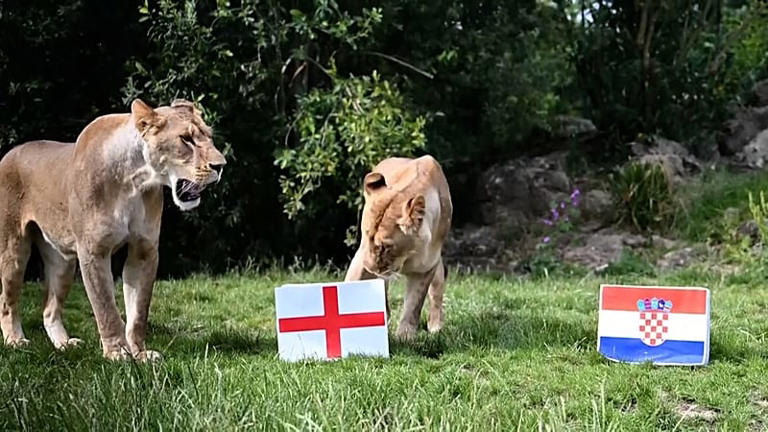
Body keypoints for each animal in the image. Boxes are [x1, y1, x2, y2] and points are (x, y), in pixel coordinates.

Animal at [0, 99, 225, 360]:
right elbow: (106, 308)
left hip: (62, 262)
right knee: (7, 300)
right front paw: (118, 353)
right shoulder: (94, 251)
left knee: (49, 309)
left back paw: (64, 344)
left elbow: (138, 312)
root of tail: (9, 153)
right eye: (186, 139)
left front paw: (140, 354)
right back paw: (16, 341)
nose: (221, 166)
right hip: (13, 249)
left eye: (209, 136)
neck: (135, 181)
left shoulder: (144, 251)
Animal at [345, 155, 452, 339]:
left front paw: (405, 337)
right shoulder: (361, 257)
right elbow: (351, 284)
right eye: (366, 235)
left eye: (385, 247)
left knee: (437, 289)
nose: (369, 267)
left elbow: (413, 305)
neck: (407, 255)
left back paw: (435, 326)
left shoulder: (426, 267)